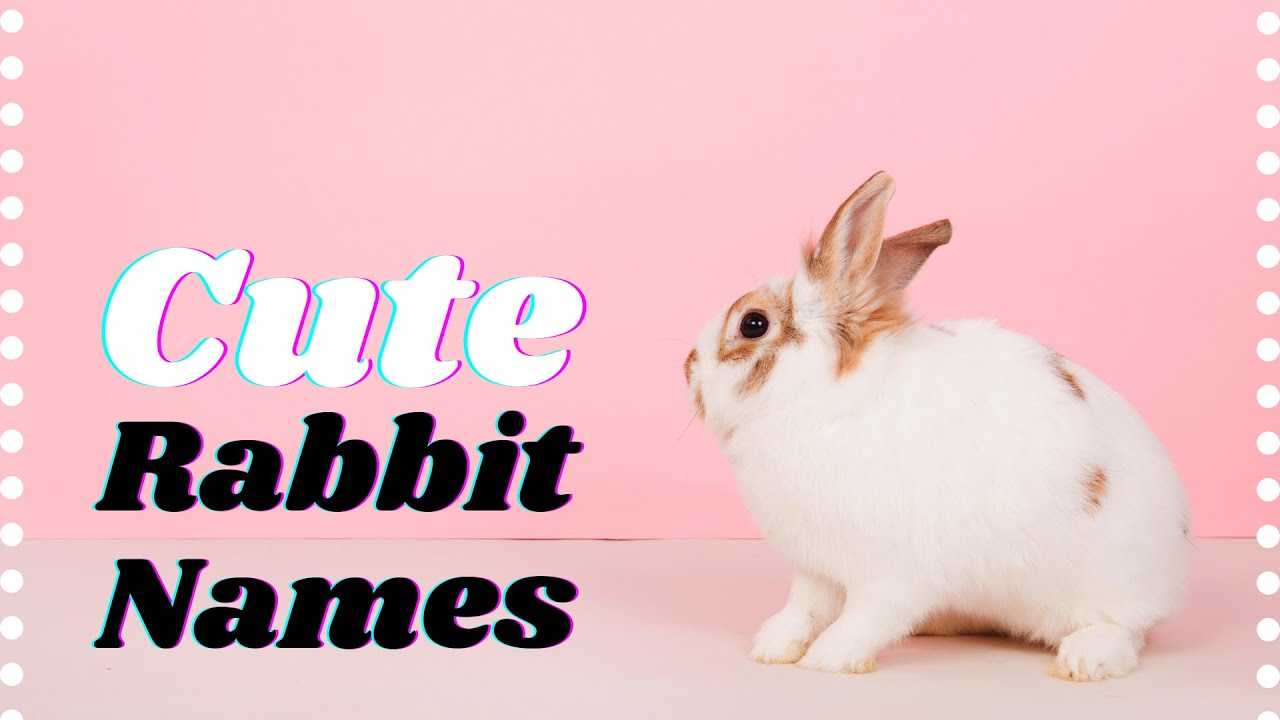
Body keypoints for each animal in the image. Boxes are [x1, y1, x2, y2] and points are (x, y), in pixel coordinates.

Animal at [683, 171, 1190, 681]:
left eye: (753, 324)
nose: (687, 369)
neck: (817, 401)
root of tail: (1174, 561)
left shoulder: (892, 572)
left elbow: (867, 616)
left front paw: (831, 659)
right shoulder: (814, 567)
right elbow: (802, 609)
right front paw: (772, 648)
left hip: (1109, 589)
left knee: (1126, 632)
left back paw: (1083, 660)